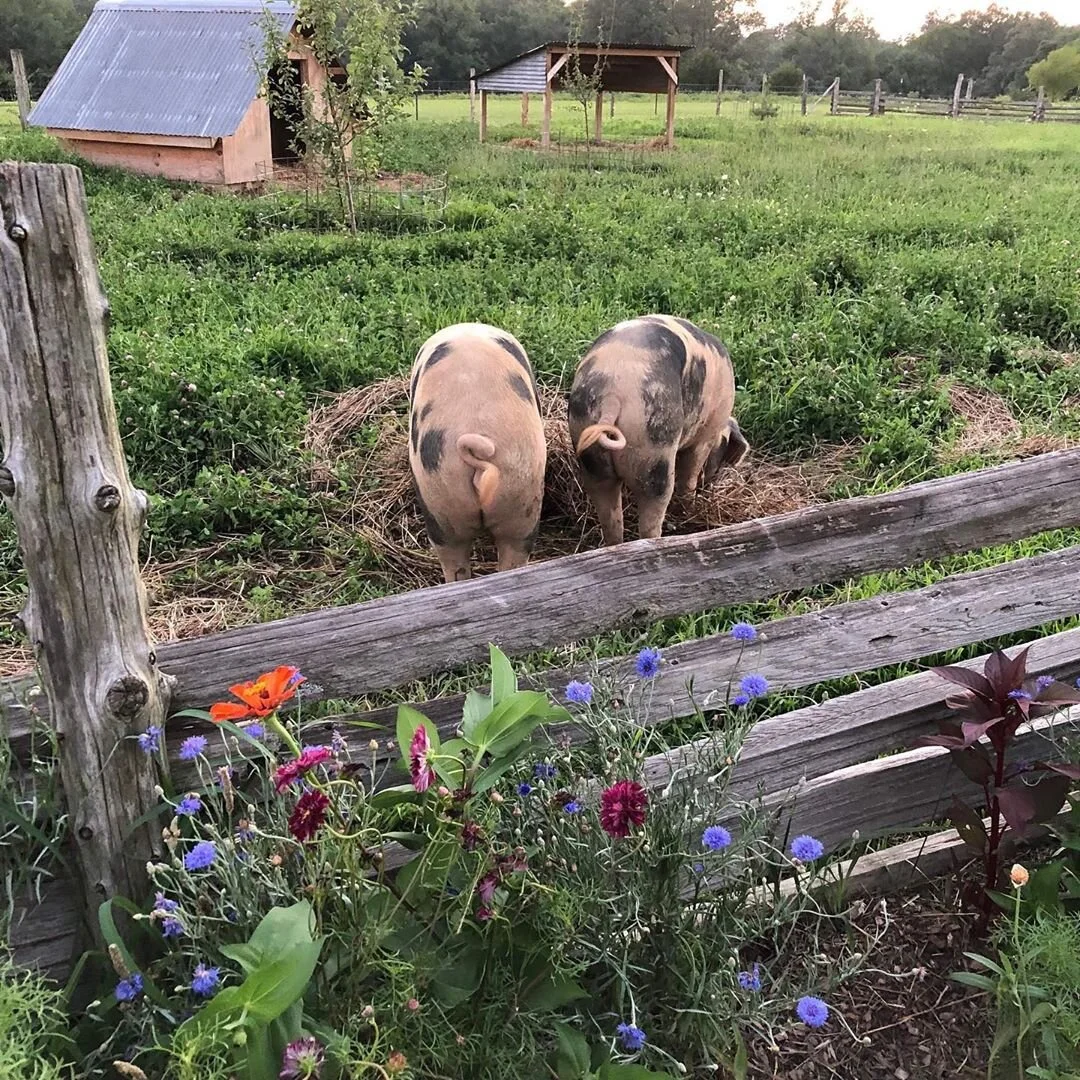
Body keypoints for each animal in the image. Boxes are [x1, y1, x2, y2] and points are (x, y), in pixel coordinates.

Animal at [568, 314, 749, 546]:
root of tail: (612, 396)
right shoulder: (705, 436)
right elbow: (691, 473)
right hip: (653, 445)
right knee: (654, 507)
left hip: (588, 443)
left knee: (610, 515)